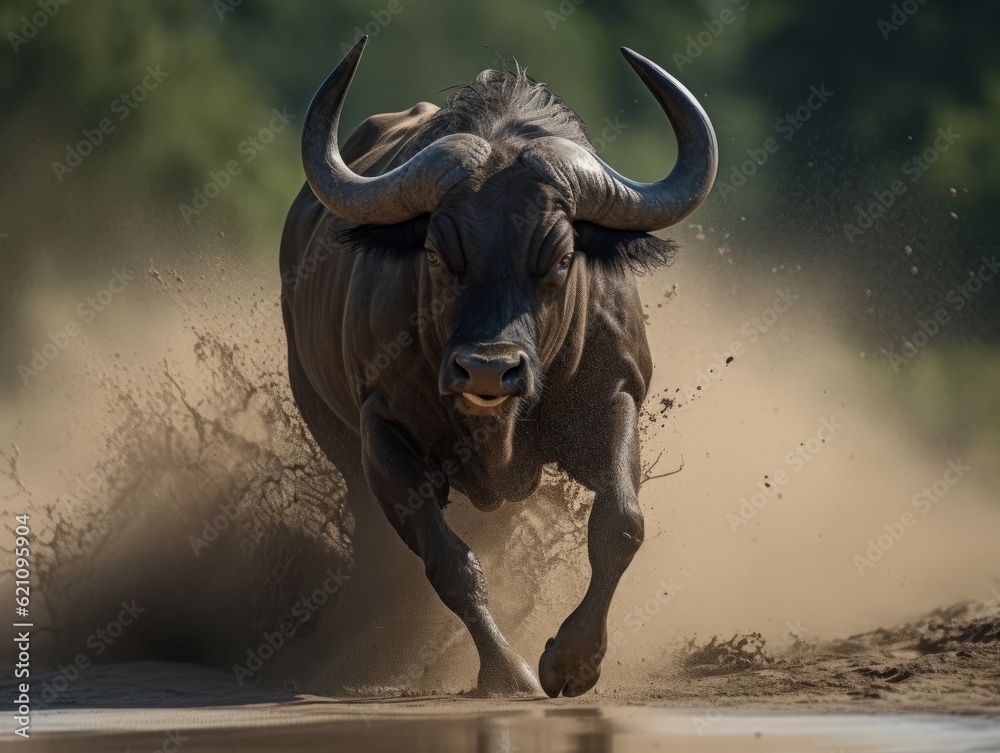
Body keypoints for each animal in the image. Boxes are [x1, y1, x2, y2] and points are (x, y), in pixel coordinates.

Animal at [279, 37, 717, 697]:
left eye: (560, 258)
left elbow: (620, 524)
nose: (488, 371)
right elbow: (449, 564)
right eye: (437, 254)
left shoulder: (614, 399)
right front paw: (507, 672)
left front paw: (573, 660)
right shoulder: (382, 436)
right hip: (331, 432)